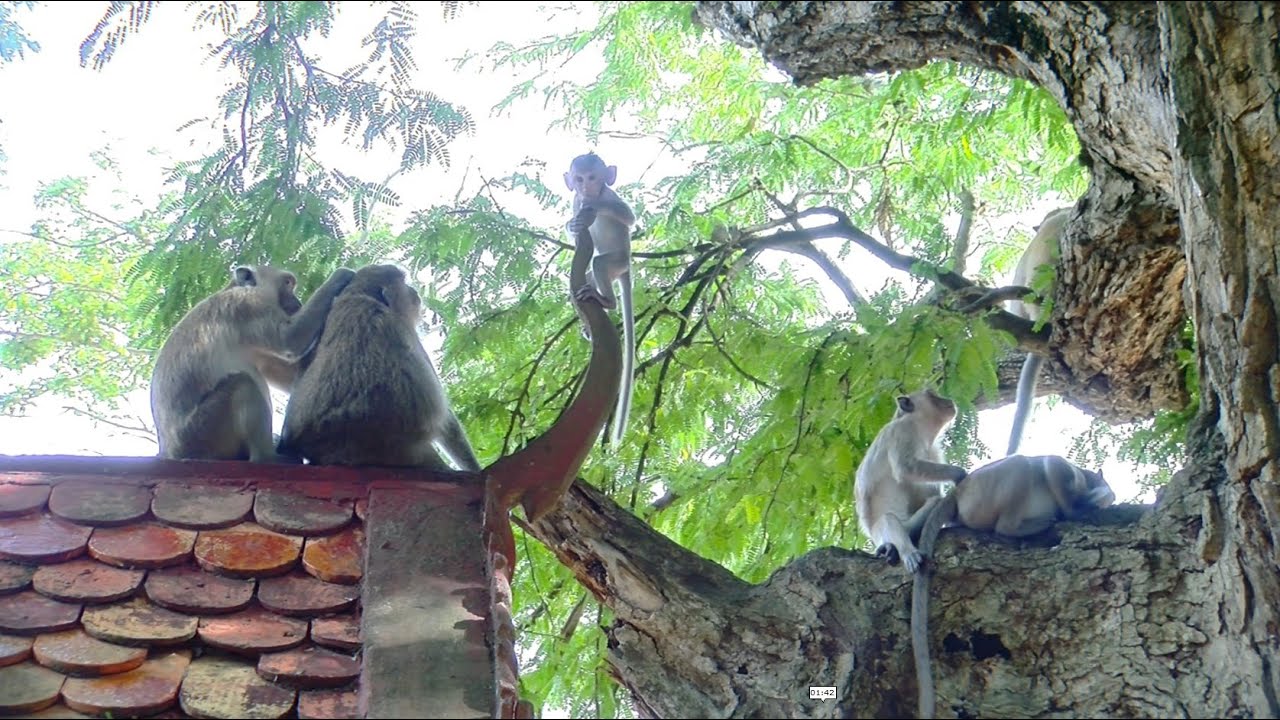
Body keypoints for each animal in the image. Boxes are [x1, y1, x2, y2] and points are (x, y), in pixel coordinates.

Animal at [149, 265, 355, 463]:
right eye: (287, 283)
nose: (297, 302)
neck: (234, 288)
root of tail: (169, 451)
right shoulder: (248, 304)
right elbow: (290, 337)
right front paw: (342, 273)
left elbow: (277, 370)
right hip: (200, 433)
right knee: (243, 383)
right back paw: (266, 457)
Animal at [853, 389, 968, 575]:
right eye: (932, 395)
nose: (948, 400)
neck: (921, 429)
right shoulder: (902, 431)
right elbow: (905, 469)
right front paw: (959, 474)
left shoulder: (933, 450)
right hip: (882, 532)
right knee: (889, 519)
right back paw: (905, 551)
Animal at [910, 454, 1116, 719]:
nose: (1106, 499)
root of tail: (956, 492)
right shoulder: (1072, 474)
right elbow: (1053, 465)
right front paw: (1078, 509)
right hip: (984, 493)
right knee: (1021, 468)